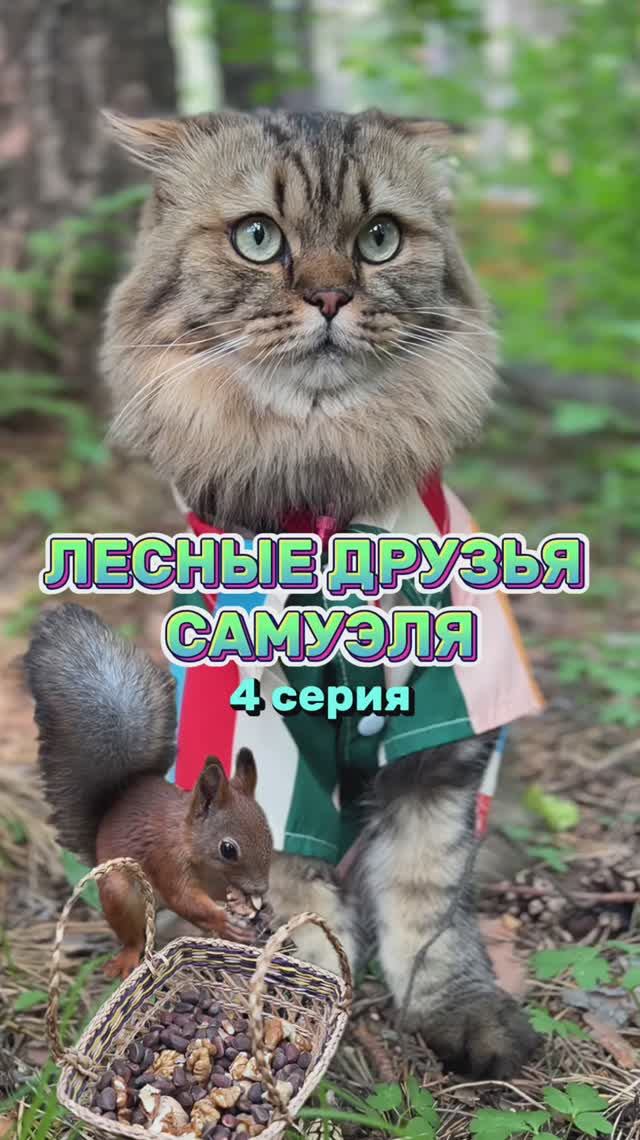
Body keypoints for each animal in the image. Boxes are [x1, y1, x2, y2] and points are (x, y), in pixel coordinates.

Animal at [25, 603, 273, 979]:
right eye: (228, 849)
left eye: (270, 834)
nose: (260, 889)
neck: (189, 839)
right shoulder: (165, 858)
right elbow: (186, 899)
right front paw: (224, 920)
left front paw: (261, 909)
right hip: (119, 892)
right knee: (133, 936)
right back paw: (128, 960)